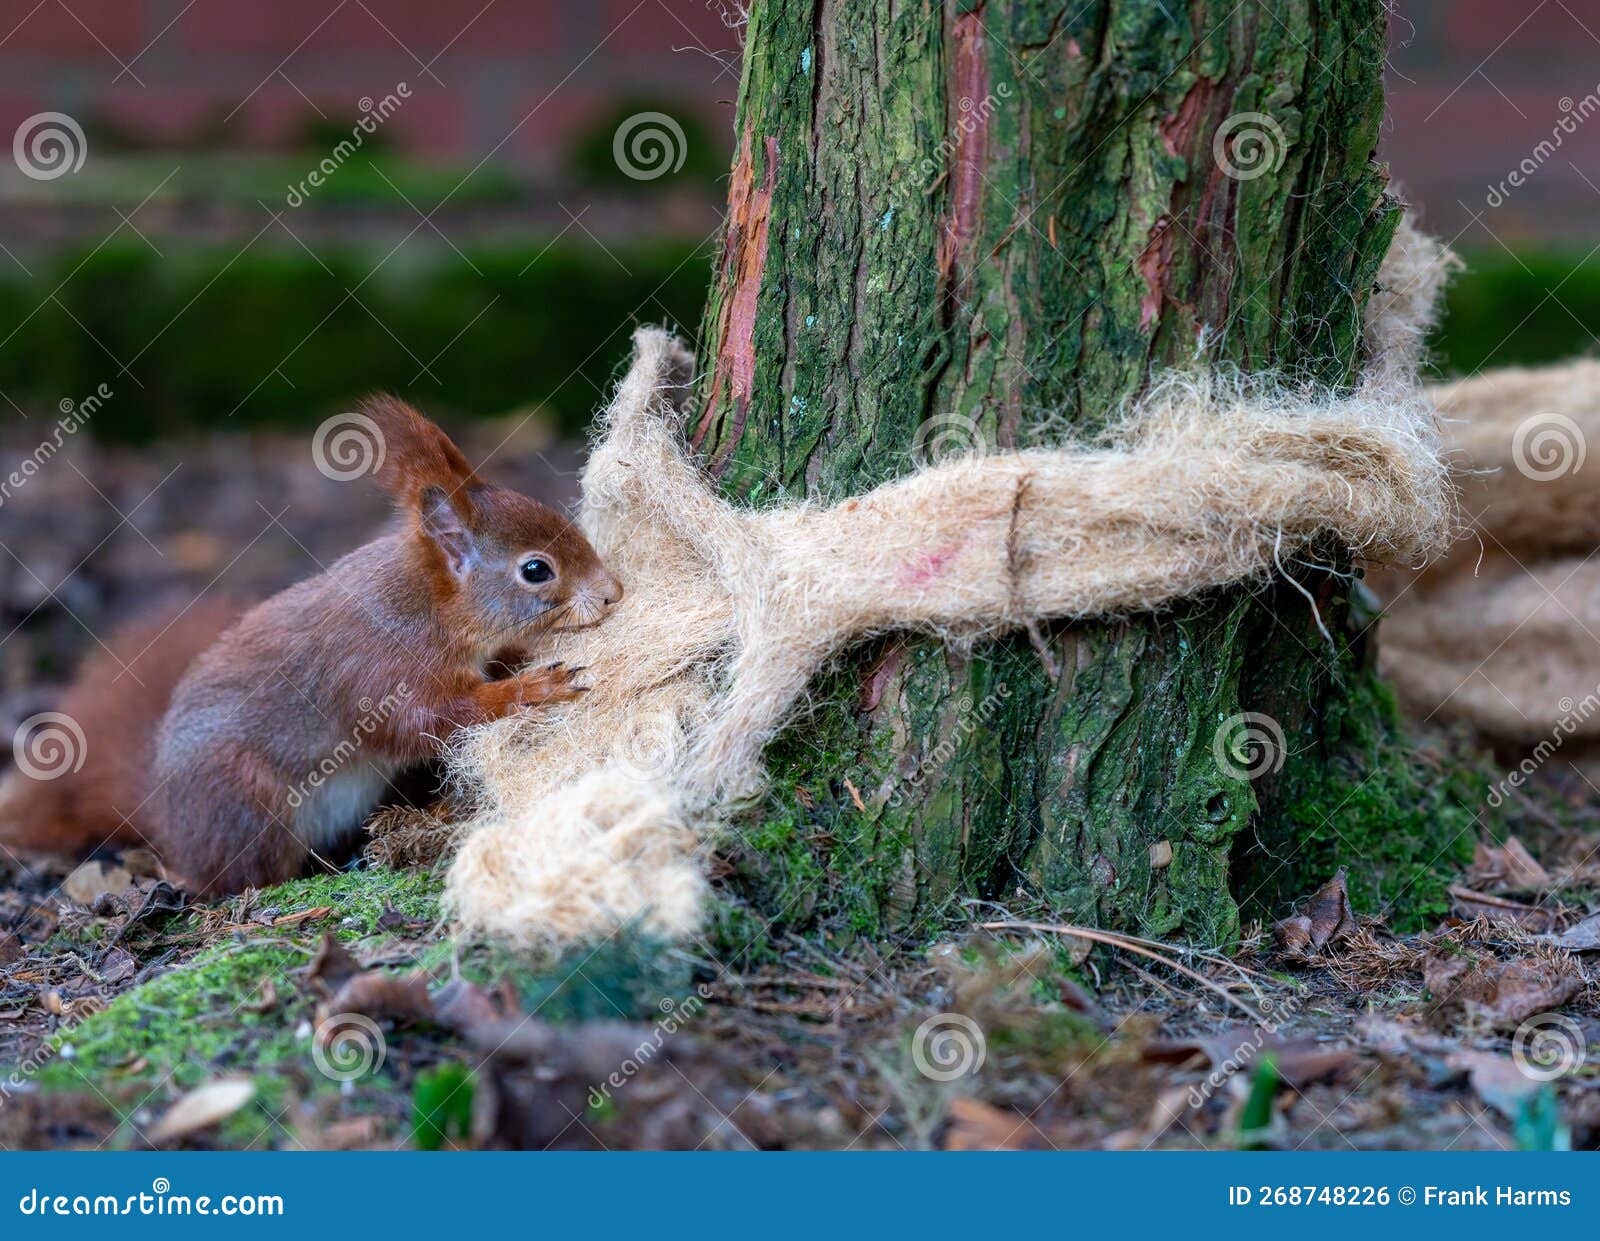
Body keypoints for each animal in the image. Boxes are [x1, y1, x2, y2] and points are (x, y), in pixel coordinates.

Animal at [0, 397, 621, 896]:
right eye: (536, 570)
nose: (612, 593)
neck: (428, 606)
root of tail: (168, 816)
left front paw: (517, 661)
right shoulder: (378, 668)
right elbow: (429, 719)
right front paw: (534, 687)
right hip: (247, 800)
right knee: (233, 876)